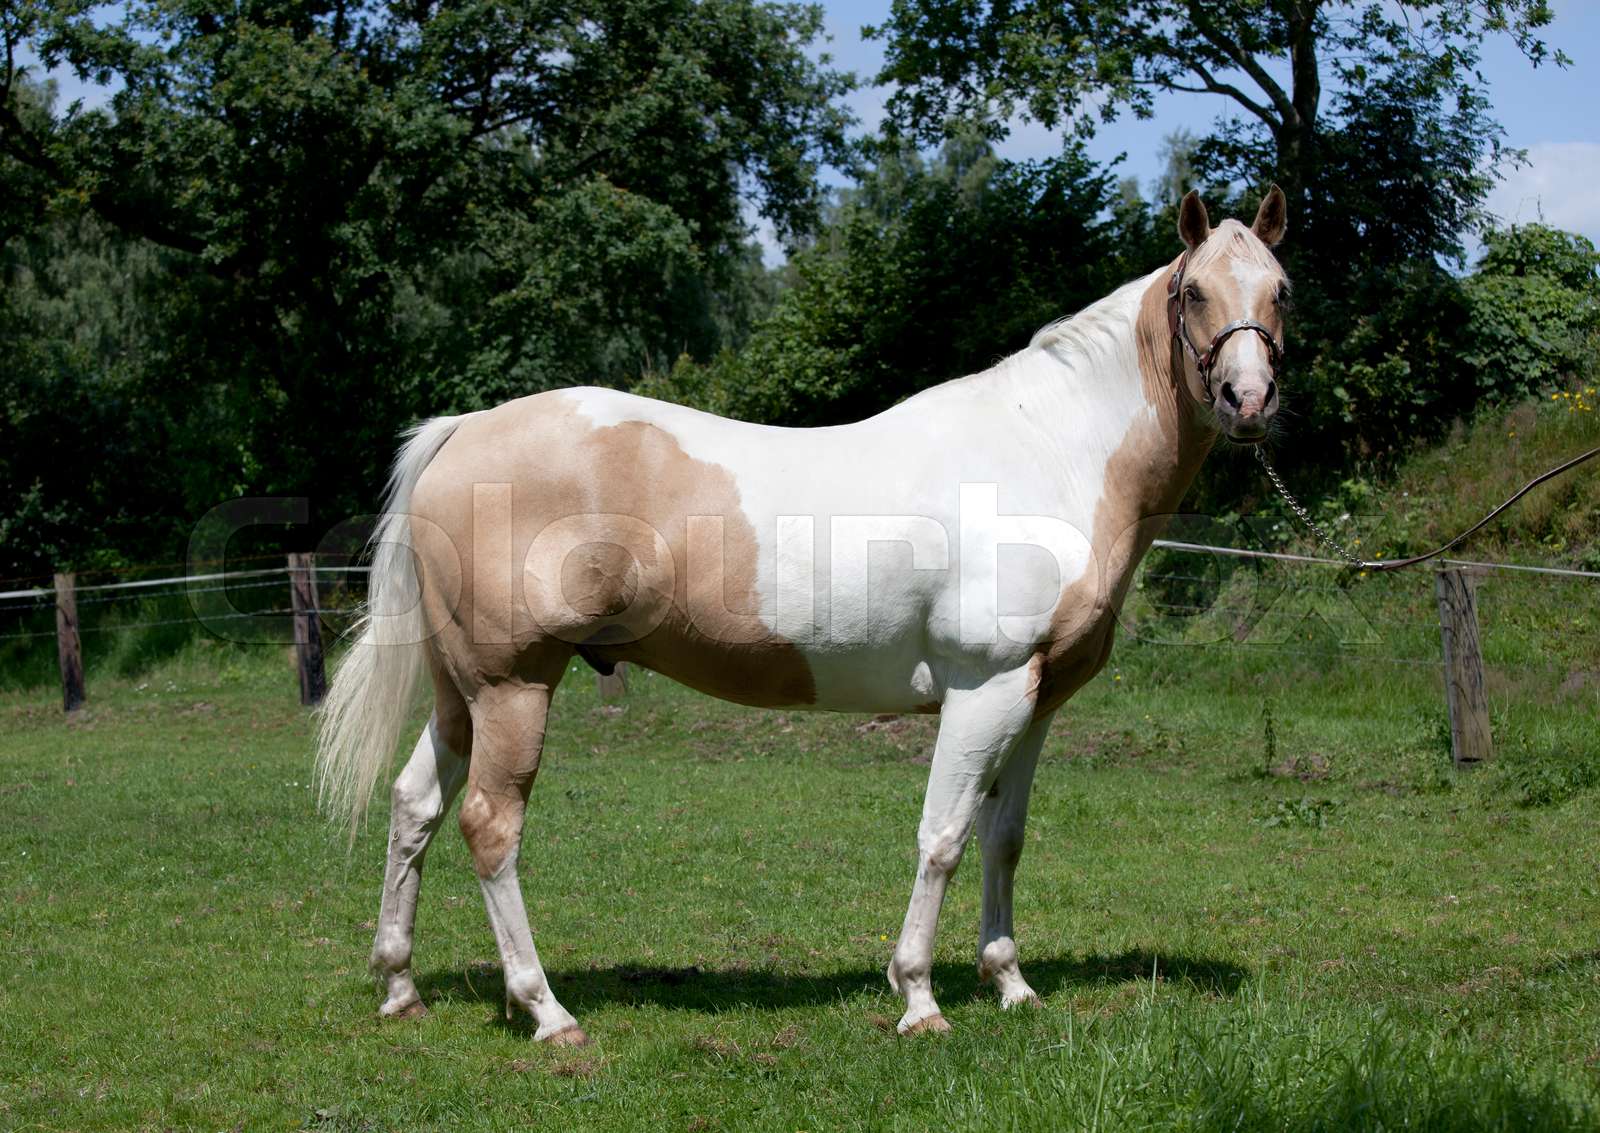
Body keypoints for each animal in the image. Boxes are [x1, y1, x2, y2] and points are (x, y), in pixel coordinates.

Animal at [316, 188, 1290, 1043]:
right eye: (1195, 292)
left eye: (1280, 287)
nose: (1248, 402)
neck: (1048, 451)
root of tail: (466, 429)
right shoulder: (983, 691)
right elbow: (942, 837)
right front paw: (919, 998)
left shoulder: (1036, 702)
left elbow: (1002, 838)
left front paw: (1011, 983)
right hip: (515, 686)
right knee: (490, 825)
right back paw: (546, 1010)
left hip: (463, 692)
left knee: (415, 805)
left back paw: (401, 987)